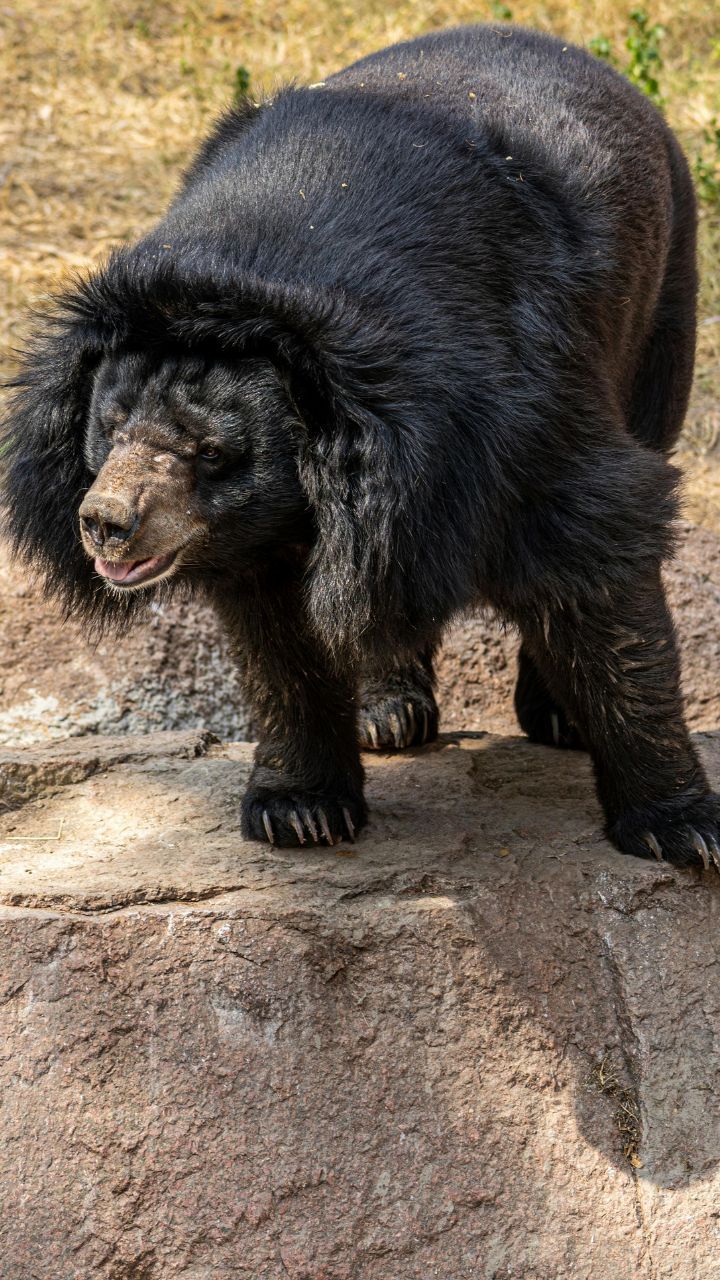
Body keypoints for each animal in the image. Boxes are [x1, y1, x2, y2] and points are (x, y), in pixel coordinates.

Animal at [3, 24, 719, 866]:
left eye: (211, 450)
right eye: (110, 425)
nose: (106, 523)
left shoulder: (523, 400)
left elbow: (598, 558)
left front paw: (683, 828)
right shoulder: (257, 531)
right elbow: (279, 644)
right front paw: (298, 810)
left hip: (661, 310)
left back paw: (550, 717)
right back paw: (389, 712)